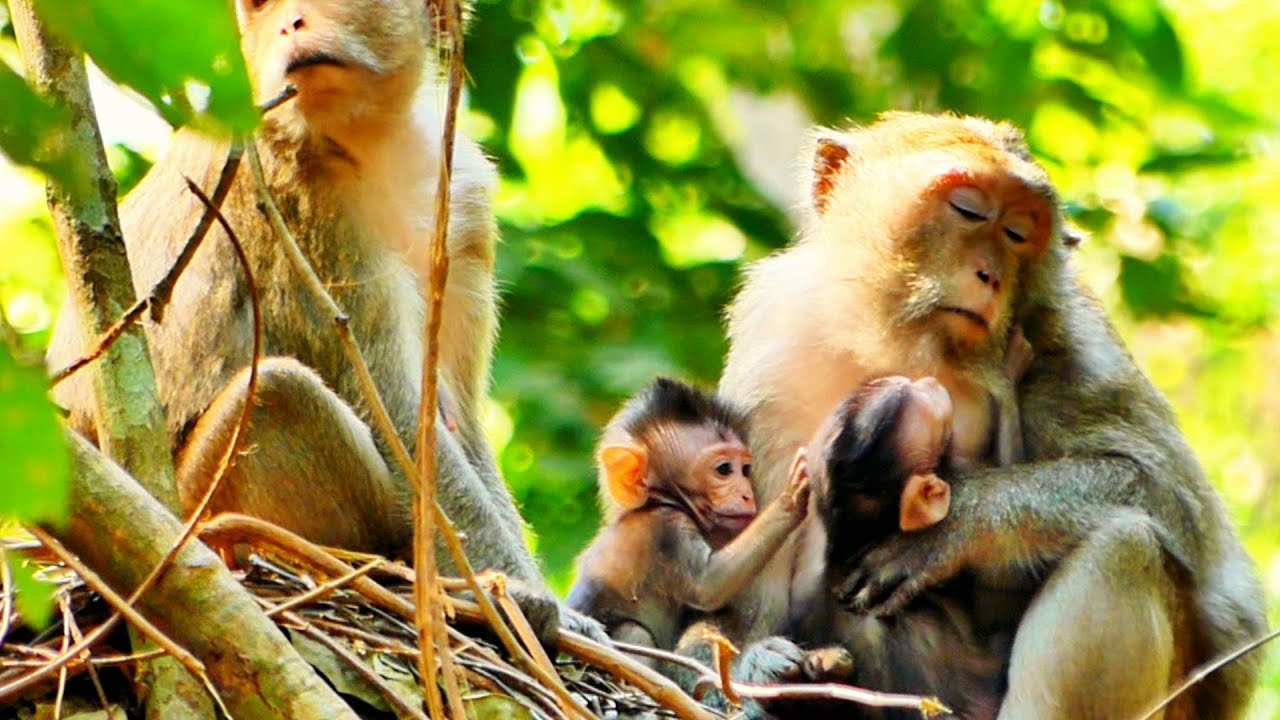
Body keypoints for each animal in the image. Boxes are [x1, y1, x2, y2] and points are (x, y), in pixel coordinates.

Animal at [46, 0, 601, 640]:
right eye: (262, 6)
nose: (292, 22)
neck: (374, 141)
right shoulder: (298, 204)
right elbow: (395, 415)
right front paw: (535, 603)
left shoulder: (463, 207)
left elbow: (455, 416)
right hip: (200, 501)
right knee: (280, 393)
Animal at [566, 377, 811, 656]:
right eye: (724, 469)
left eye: (746, 469)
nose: (748, 495)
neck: (659, 501)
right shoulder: (669, 527)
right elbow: (710, 585)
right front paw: (792, 496)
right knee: (634, 632)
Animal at [713, 111, 1264, 718]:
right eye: (968, 209)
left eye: (1019, 232)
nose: (990, 276)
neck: (901, 345)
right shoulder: (775, 340)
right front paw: (755, 662)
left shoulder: (1069, 342)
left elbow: (1170, 501)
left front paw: (952, 529)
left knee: (1126, 544)